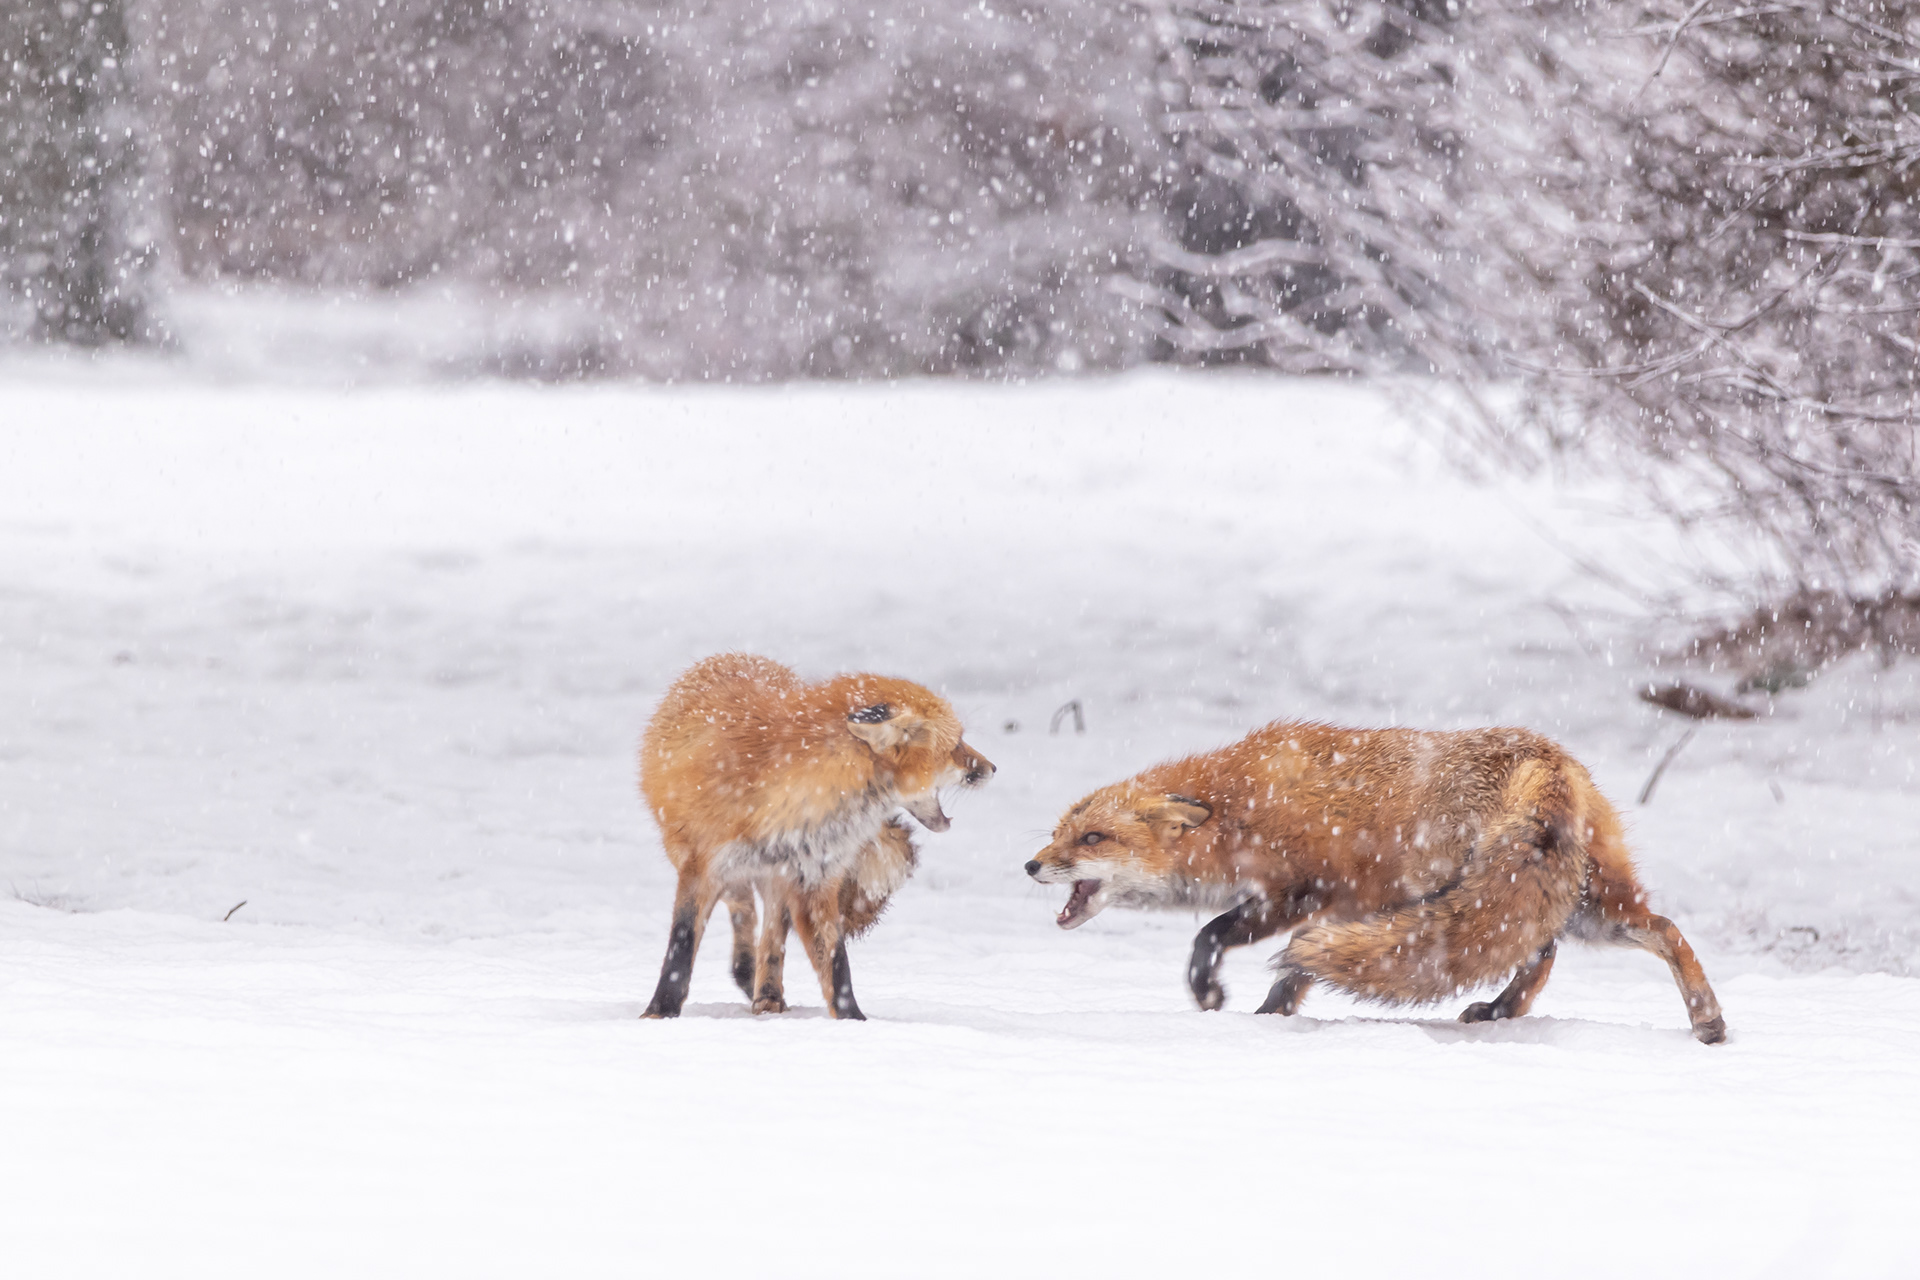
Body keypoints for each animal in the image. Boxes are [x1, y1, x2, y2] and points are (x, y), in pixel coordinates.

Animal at [640, 653, 994, 1020]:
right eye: (956, 744)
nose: (993, 768)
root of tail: (734, 655)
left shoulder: (814, 881)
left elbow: (836, 965)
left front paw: (854, 1021)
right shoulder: (702, 866)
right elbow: (681, 944)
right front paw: (660, 1012)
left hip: (777, 882)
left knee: (771, 936)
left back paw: (767, 995)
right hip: (712, 864)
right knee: (743, 911)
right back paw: (747, 973)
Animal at [1025, 721, 1727, 1043]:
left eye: (1093, 839)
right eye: (1059, 832)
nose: (1031, 865)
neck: (1241, 809)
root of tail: (1545, 757)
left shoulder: (1299, 892)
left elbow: (1213, 935)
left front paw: (1214, 995)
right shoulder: (1344, 906)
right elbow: (1296, 973)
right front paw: (1272, 1016)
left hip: (1475, 892)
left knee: (1551, 945)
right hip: (1583, 904)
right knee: (1636, 934)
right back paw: (1703, 1019)